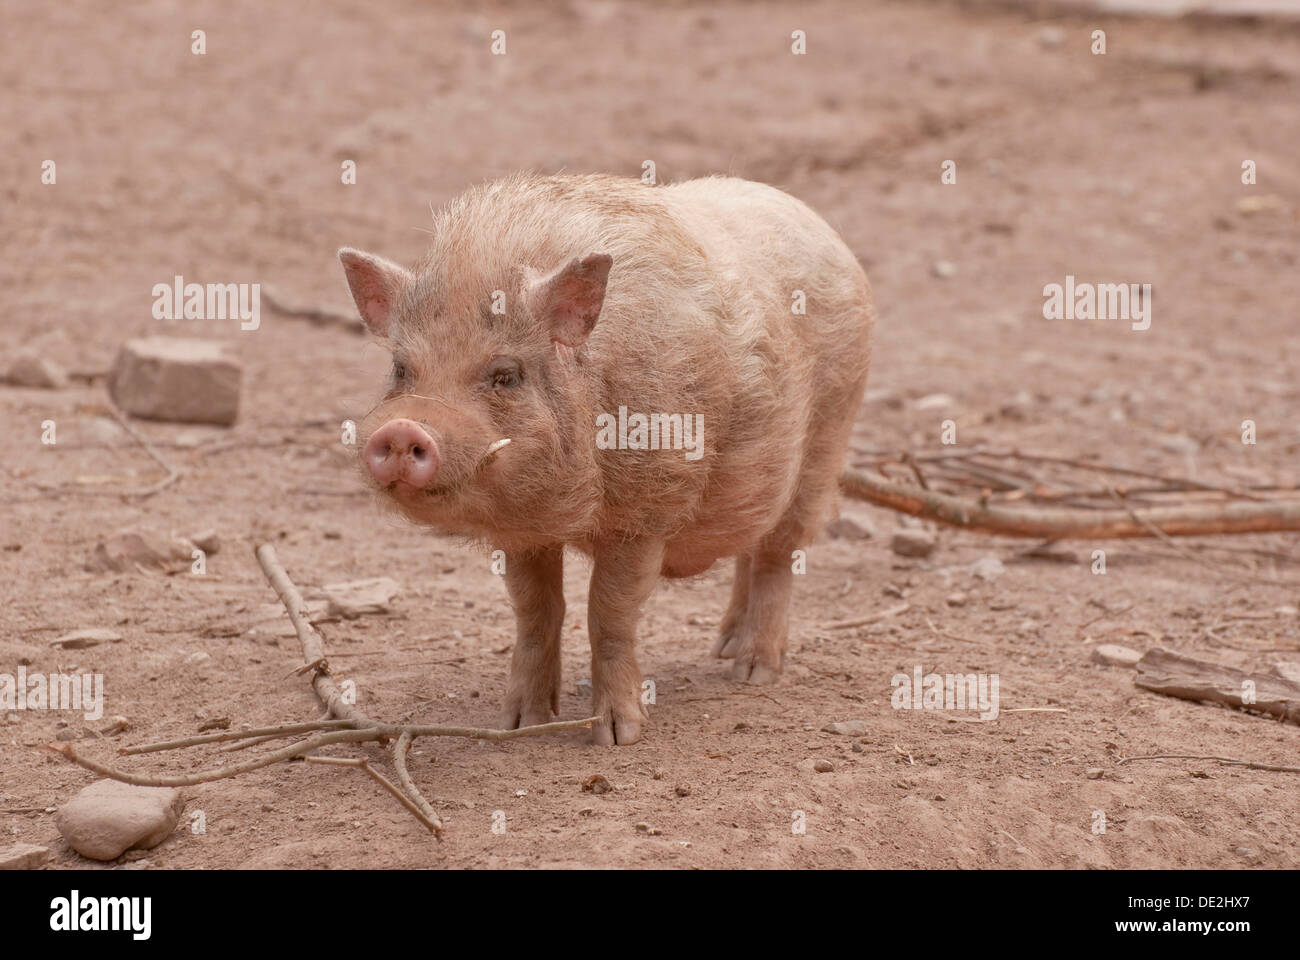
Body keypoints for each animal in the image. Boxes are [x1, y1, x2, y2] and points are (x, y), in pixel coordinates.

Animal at [341, 172, 873, 745]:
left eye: (506, 374)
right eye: (401, 368)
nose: (402, 429)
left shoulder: (644, 513)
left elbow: (608, 614)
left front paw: (617, 736)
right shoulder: (522, 534)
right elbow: (536, 611)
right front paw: (520, 724)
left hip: (829, 437)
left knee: (779, 555)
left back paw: (752, 672)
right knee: (749, 545)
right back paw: (722, 647)